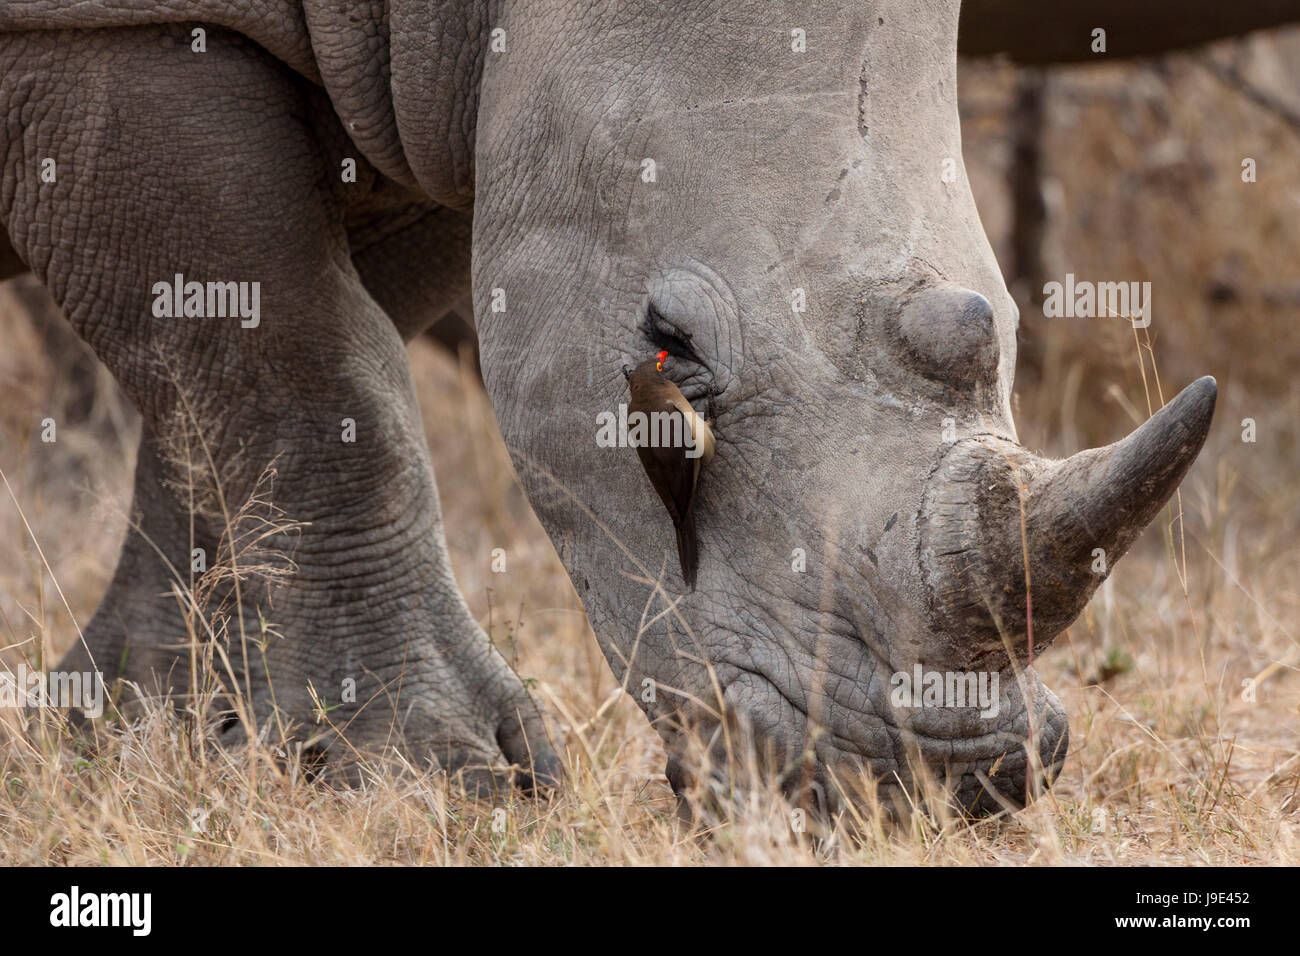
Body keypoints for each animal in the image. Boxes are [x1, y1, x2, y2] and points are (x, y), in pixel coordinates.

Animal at [0, 0, 1263, 815]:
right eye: (672, 356)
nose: (946, 788)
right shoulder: (97, 27)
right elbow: (310, 372)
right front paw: (438, 779)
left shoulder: (420, 95)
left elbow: (248, 380)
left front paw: (137, 734)